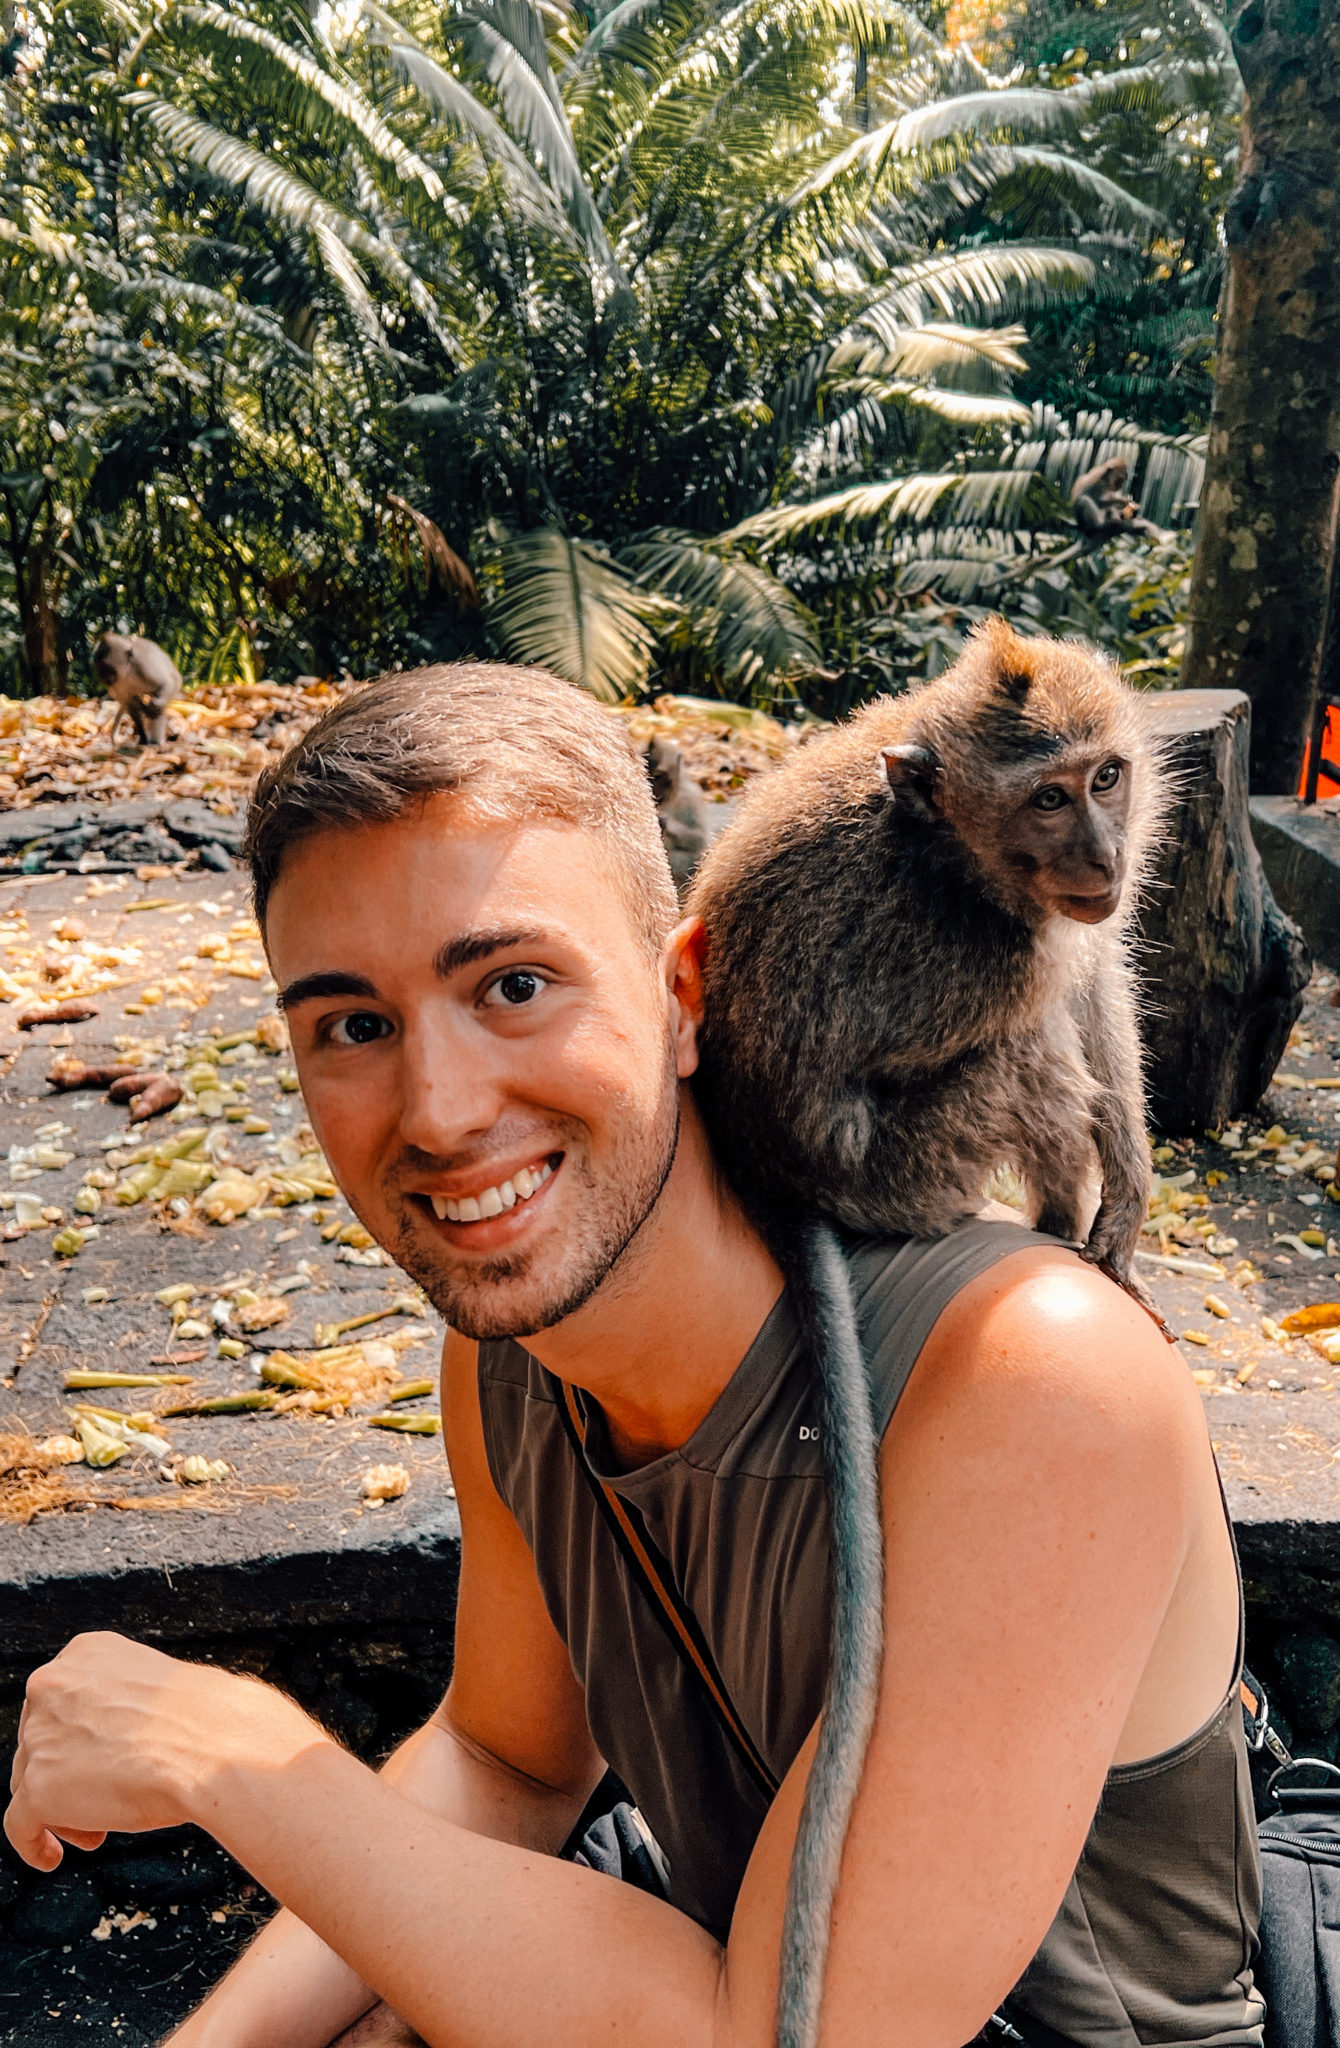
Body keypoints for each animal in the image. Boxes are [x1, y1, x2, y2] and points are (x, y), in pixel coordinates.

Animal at [684, 619, 1171, 2048]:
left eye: (1106, 775)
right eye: (1044, 797)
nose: (1098, 854)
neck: (953, 851)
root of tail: (773, 1176)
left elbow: (1097, 988)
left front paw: (1128, 1190)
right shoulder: (978, 950)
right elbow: (1035, 1016)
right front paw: (1101, 1176)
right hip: (901, 1171)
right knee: (1016, 1060)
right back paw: (1051, 1209)